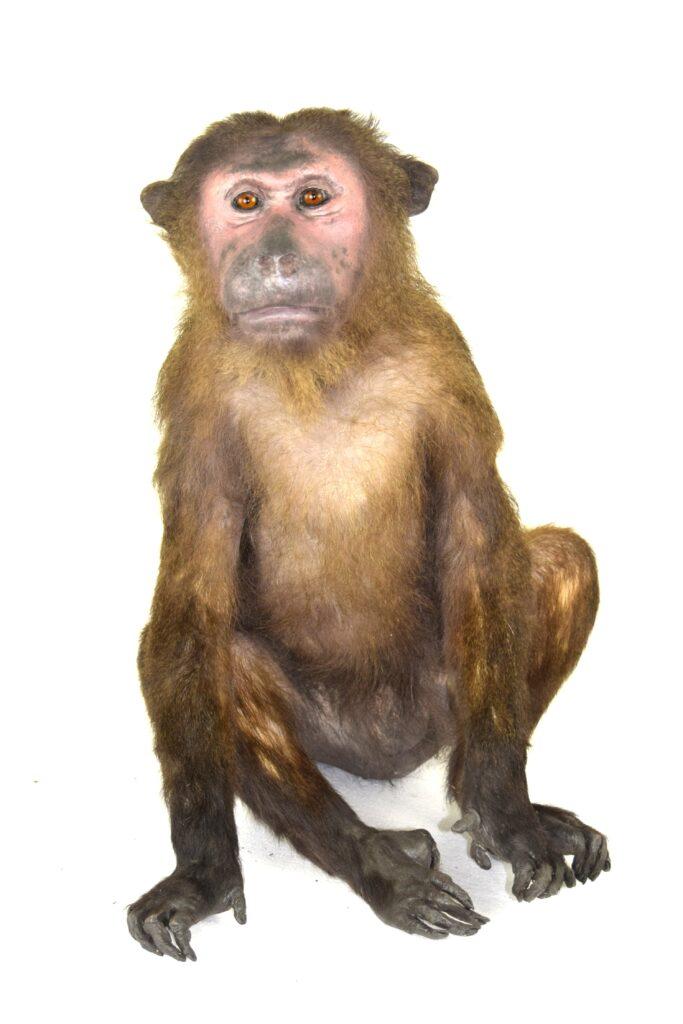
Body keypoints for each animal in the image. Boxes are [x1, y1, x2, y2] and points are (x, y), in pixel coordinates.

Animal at [127, 108, 609, 962]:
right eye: (244, 202)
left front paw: (510, 817)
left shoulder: (445, 361)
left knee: (558, 563)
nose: (274, 257)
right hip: (334, 737)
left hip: (441, 707)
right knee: (230, 658)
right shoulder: (195, 392)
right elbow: (190, 615)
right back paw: (380, 859)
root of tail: (386, 760)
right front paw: (202, 875)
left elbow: (478, 547)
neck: (319, 363)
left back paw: (482, 802)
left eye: (313, 197)